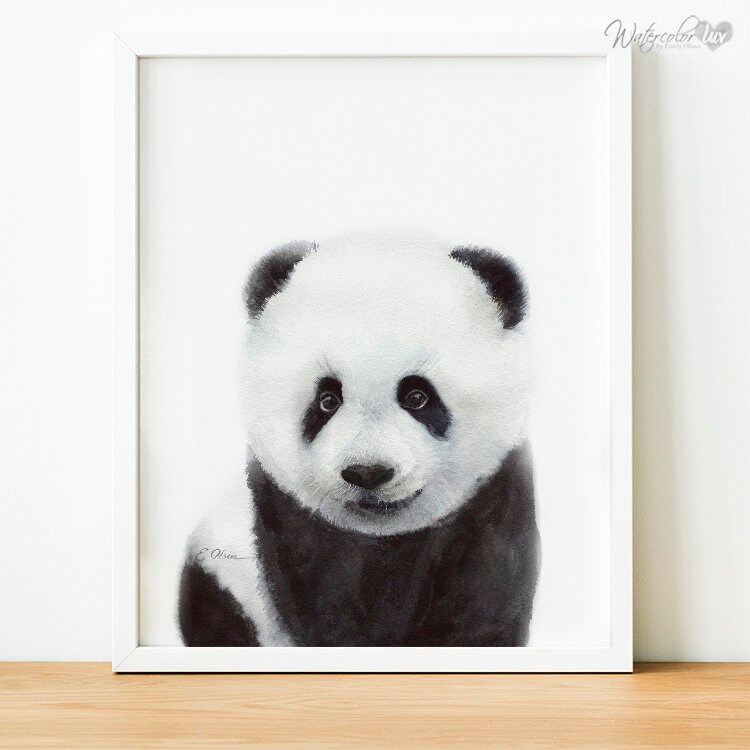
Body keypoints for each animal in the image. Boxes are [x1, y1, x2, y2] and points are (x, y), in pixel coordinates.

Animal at [178, 232, 540, 647]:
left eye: (418, 396)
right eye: (327, 399)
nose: (368, 472)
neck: (382, 541)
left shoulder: (492, 506)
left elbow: (483, 605)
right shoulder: (286, 523)